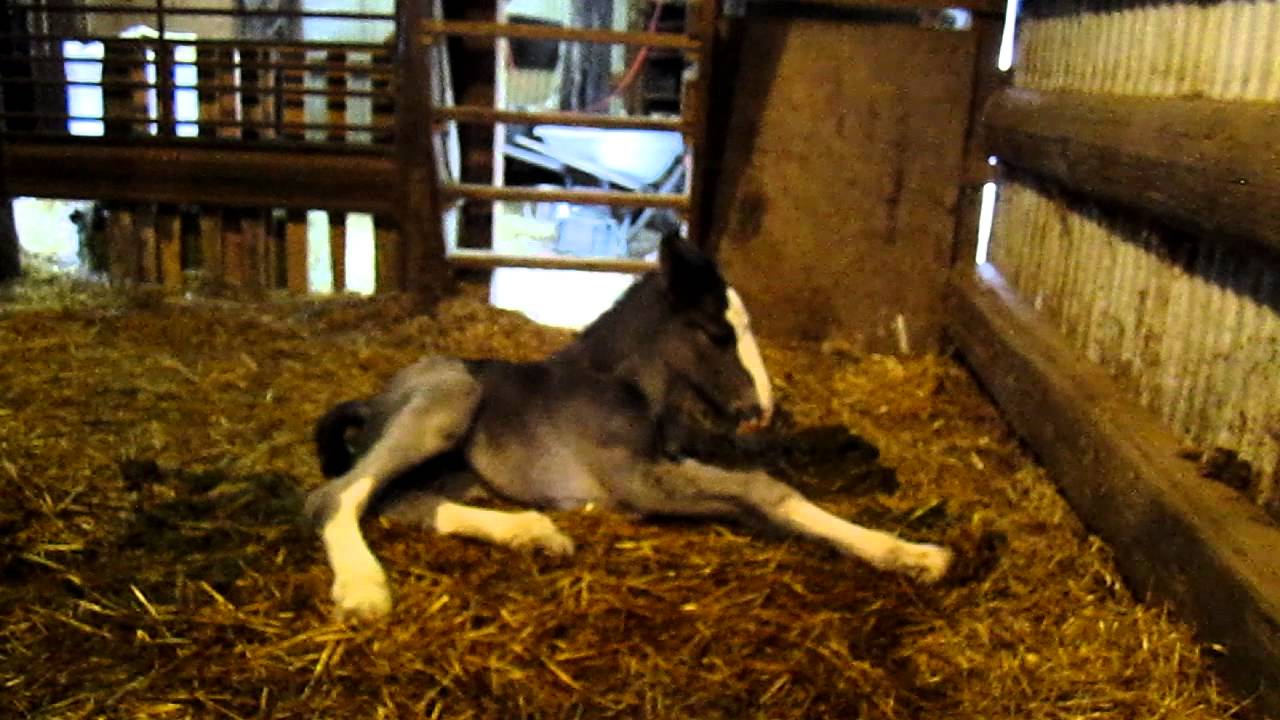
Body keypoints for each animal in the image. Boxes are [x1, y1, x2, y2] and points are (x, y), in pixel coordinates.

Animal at [304, 233, 953, 620]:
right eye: (717, 333)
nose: (764, 409)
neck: (625, 389)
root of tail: (374, 399)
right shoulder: (639, 482)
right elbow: (767, 489)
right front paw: (916, 552)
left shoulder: (674, 462)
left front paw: (911, 553)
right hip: (450, 397)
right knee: (335, 495)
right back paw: (363, 588)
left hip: (456, 471)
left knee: (404, 501)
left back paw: (534, 533)